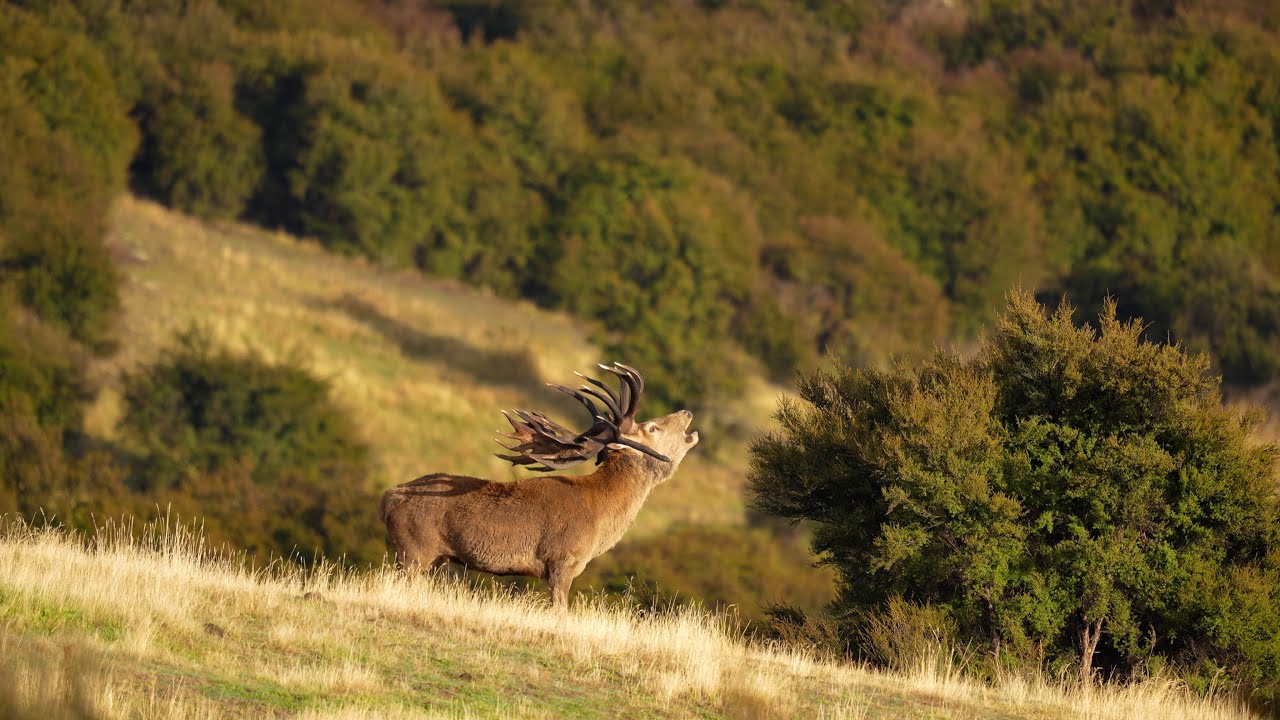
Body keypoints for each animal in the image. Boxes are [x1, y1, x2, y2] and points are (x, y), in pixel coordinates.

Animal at [380, 363, 699, 608]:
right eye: (652, 427)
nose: (686, 412)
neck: (600, 518)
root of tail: (387, 498)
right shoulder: (562, 560)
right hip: (414, 551)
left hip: (430, 558)